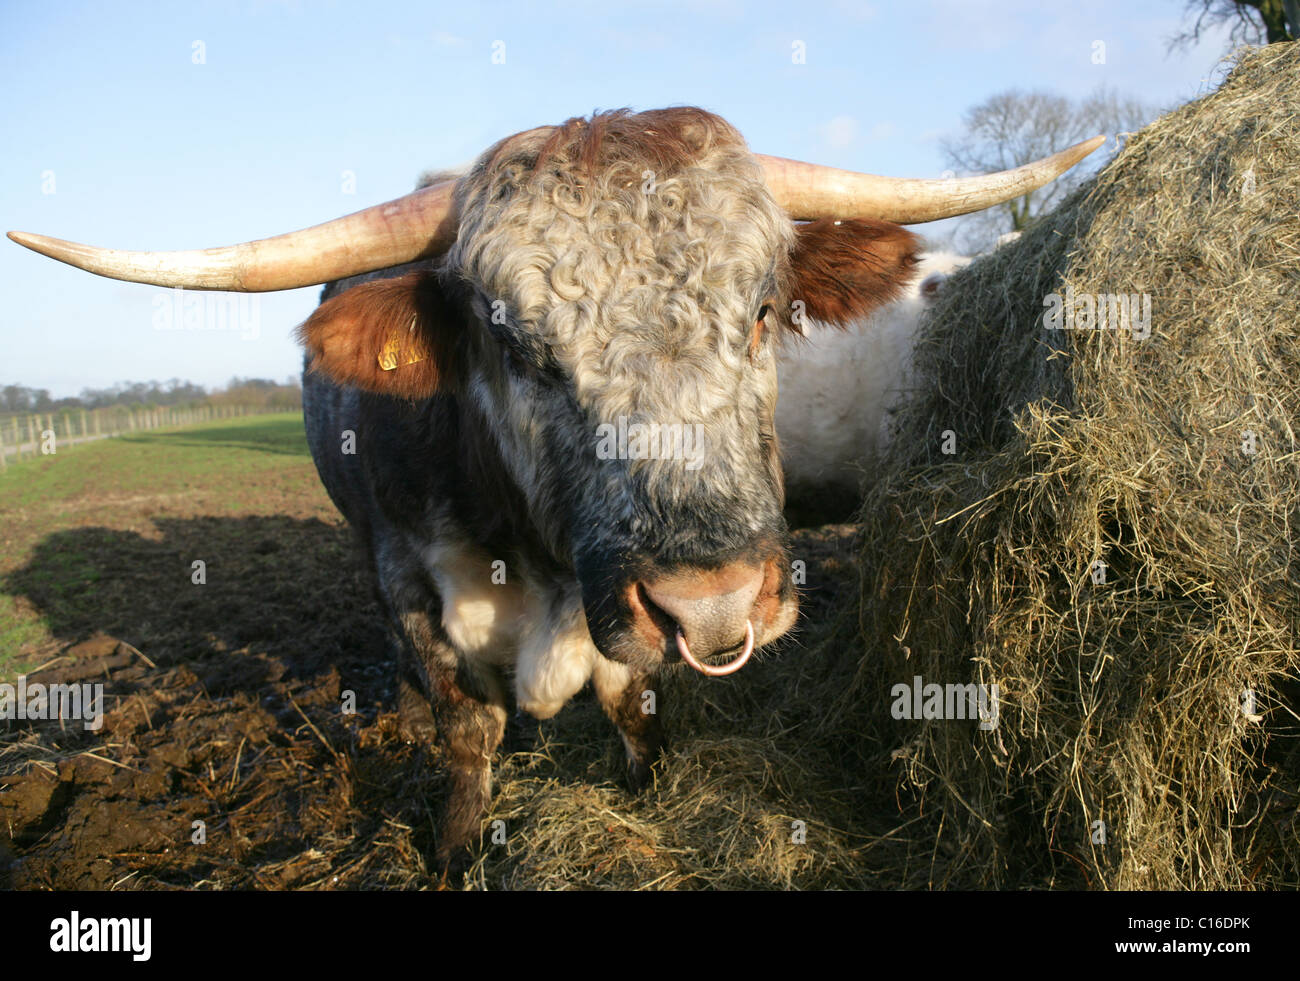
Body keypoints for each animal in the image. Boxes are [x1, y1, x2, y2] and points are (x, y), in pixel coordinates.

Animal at [9, 109, 1100, 874]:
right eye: (517, 347)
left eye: (761, 311)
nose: (713, 602)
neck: (532, 560)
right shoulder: (403, 577)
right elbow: (467, 726)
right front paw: (455, 849)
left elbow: (630, 698)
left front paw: (651, 793)